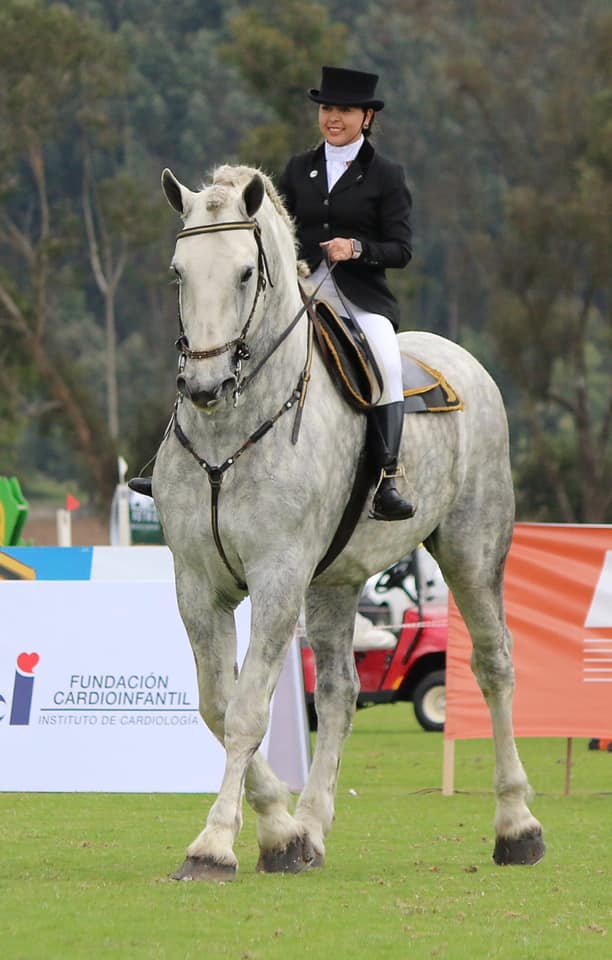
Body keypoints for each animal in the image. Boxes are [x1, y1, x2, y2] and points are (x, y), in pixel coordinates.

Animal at [152, 163, 545, 881]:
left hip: (472, 553)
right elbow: (218, 706)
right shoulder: (197, 584)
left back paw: (517, 827)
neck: (230, 433)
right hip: (334, 584)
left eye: (245, 273)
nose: (204, 386)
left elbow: (246, 711)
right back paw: (310, 829)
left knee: (494, 664)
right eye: (178, 272)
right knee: (339, 691)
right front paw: (281, 831)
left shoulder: (278, 579)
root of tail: (460, 357)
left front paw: (214, 844)